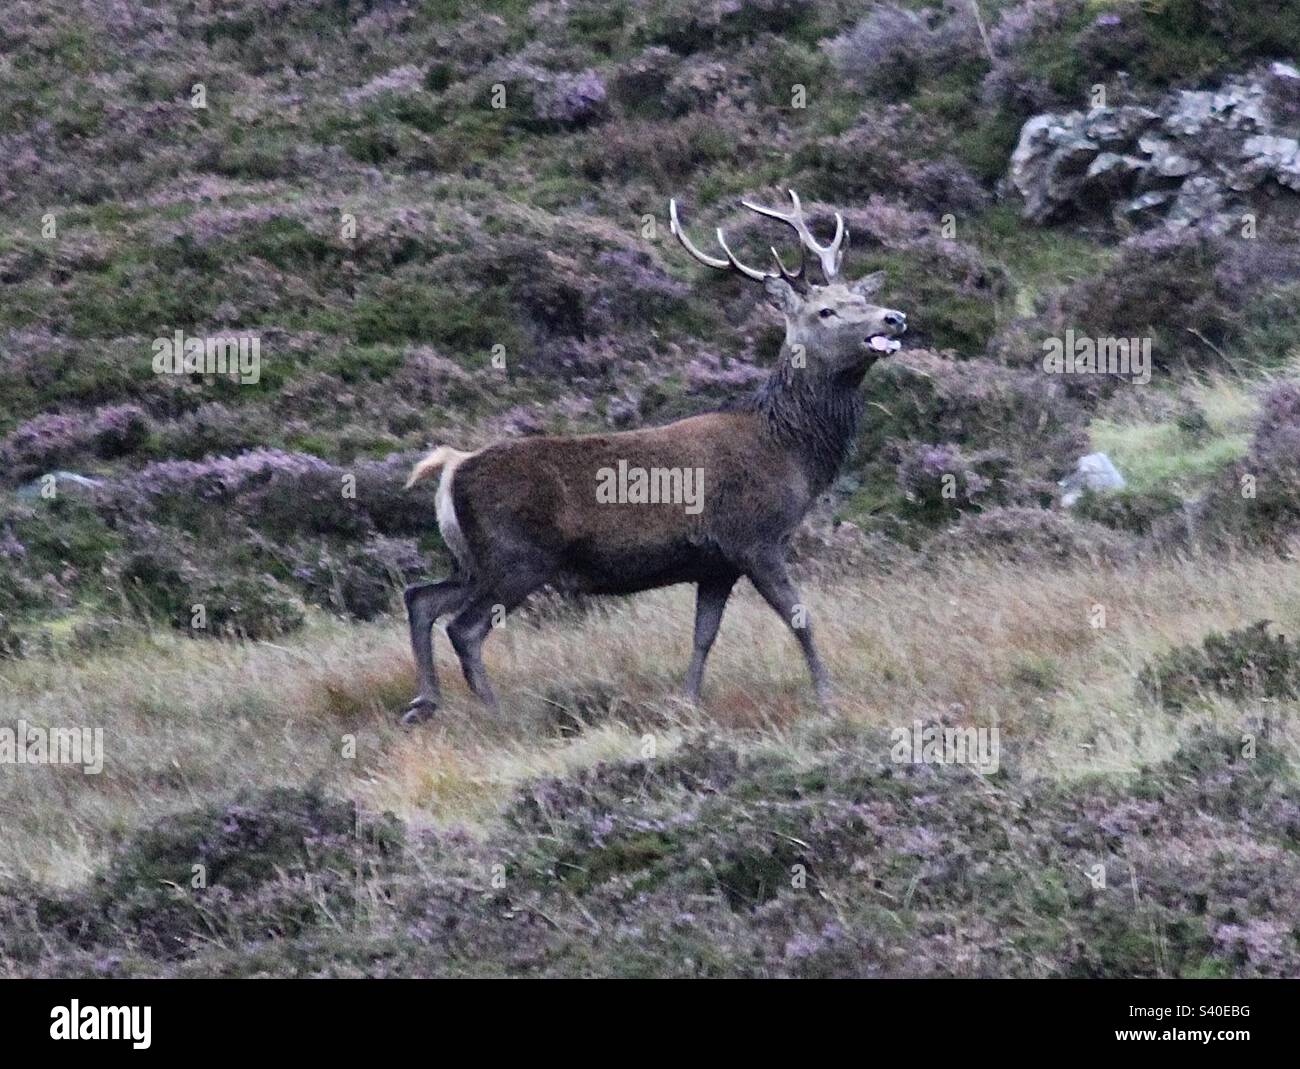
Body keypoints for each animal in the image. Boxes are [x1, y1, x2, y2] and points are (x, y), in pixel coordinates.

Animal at [399, 191, 906, 725]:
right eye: (827, 311)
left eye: (862, 300)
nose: (893, 317)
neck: (791, 452)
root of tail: (451, 469)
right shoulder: (756, 539)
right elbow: (801, 617)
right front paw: (828, 697)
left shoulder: (715, 564)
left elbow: (704, 636)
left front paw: (687, 702)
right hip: (518, 558)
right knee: (464, 628)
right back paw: (497, 714)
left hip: (475, 560)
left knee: (421, 598)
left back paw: (424, 702)